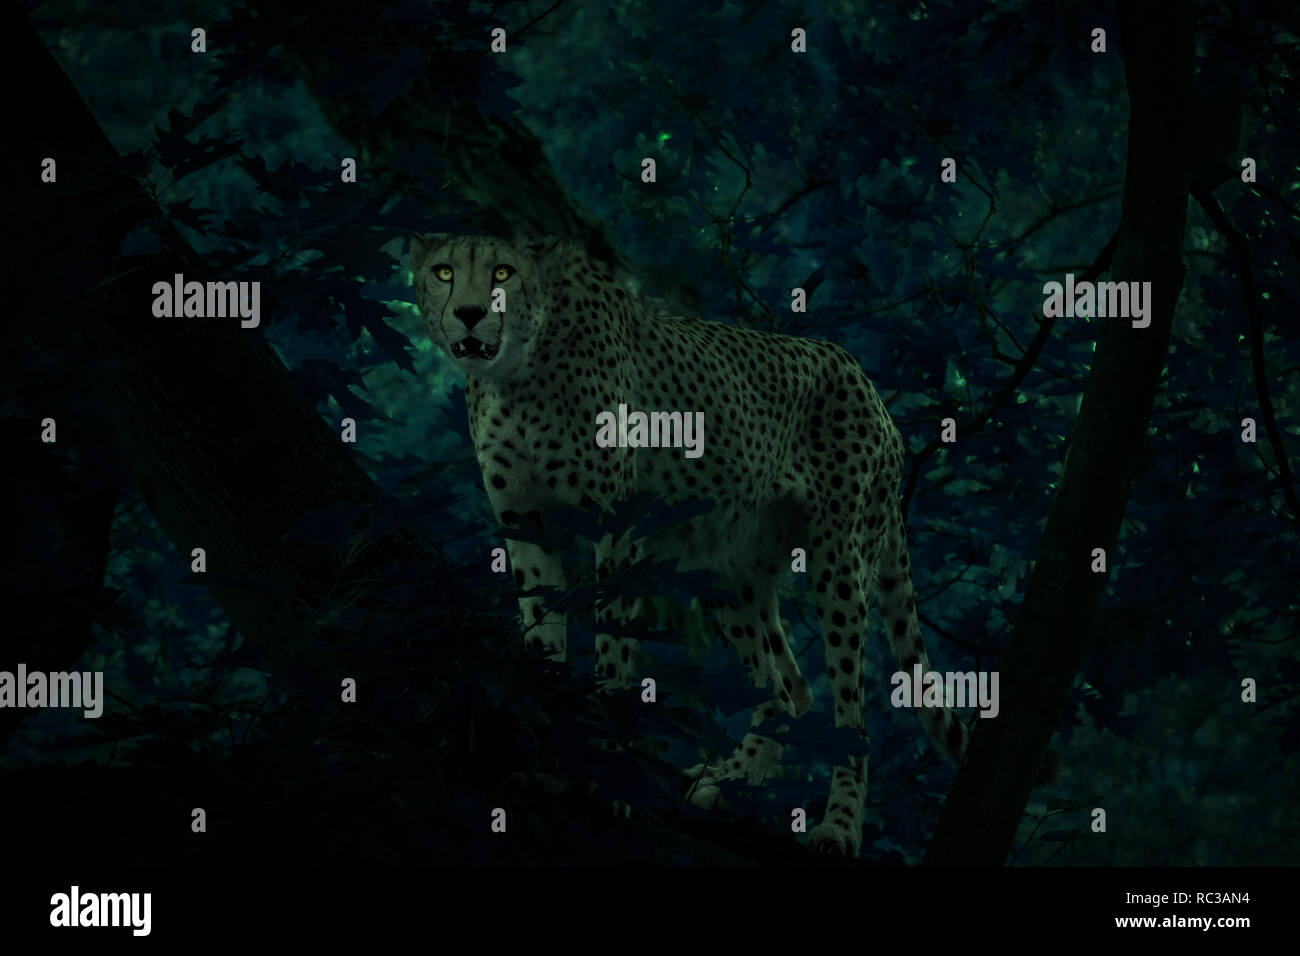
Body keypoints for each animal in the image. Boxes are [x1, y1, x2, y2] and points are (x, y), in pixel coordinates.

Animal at [409, 232, 969, 857]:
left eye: (503, 272)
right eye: (443, 272)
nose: (469, 313)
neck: (518, 369)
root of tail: (867, 382)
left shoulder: (617, 525)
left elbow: (612, 651)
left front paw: (606, 772)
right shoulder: (527, 524)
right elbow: (543, 640)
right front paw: (551, 760)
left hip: (838, 556)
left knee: (851, 706)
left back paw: (839, 825)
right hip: (730, 569)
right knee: (788, 689)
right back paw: (723, 780)